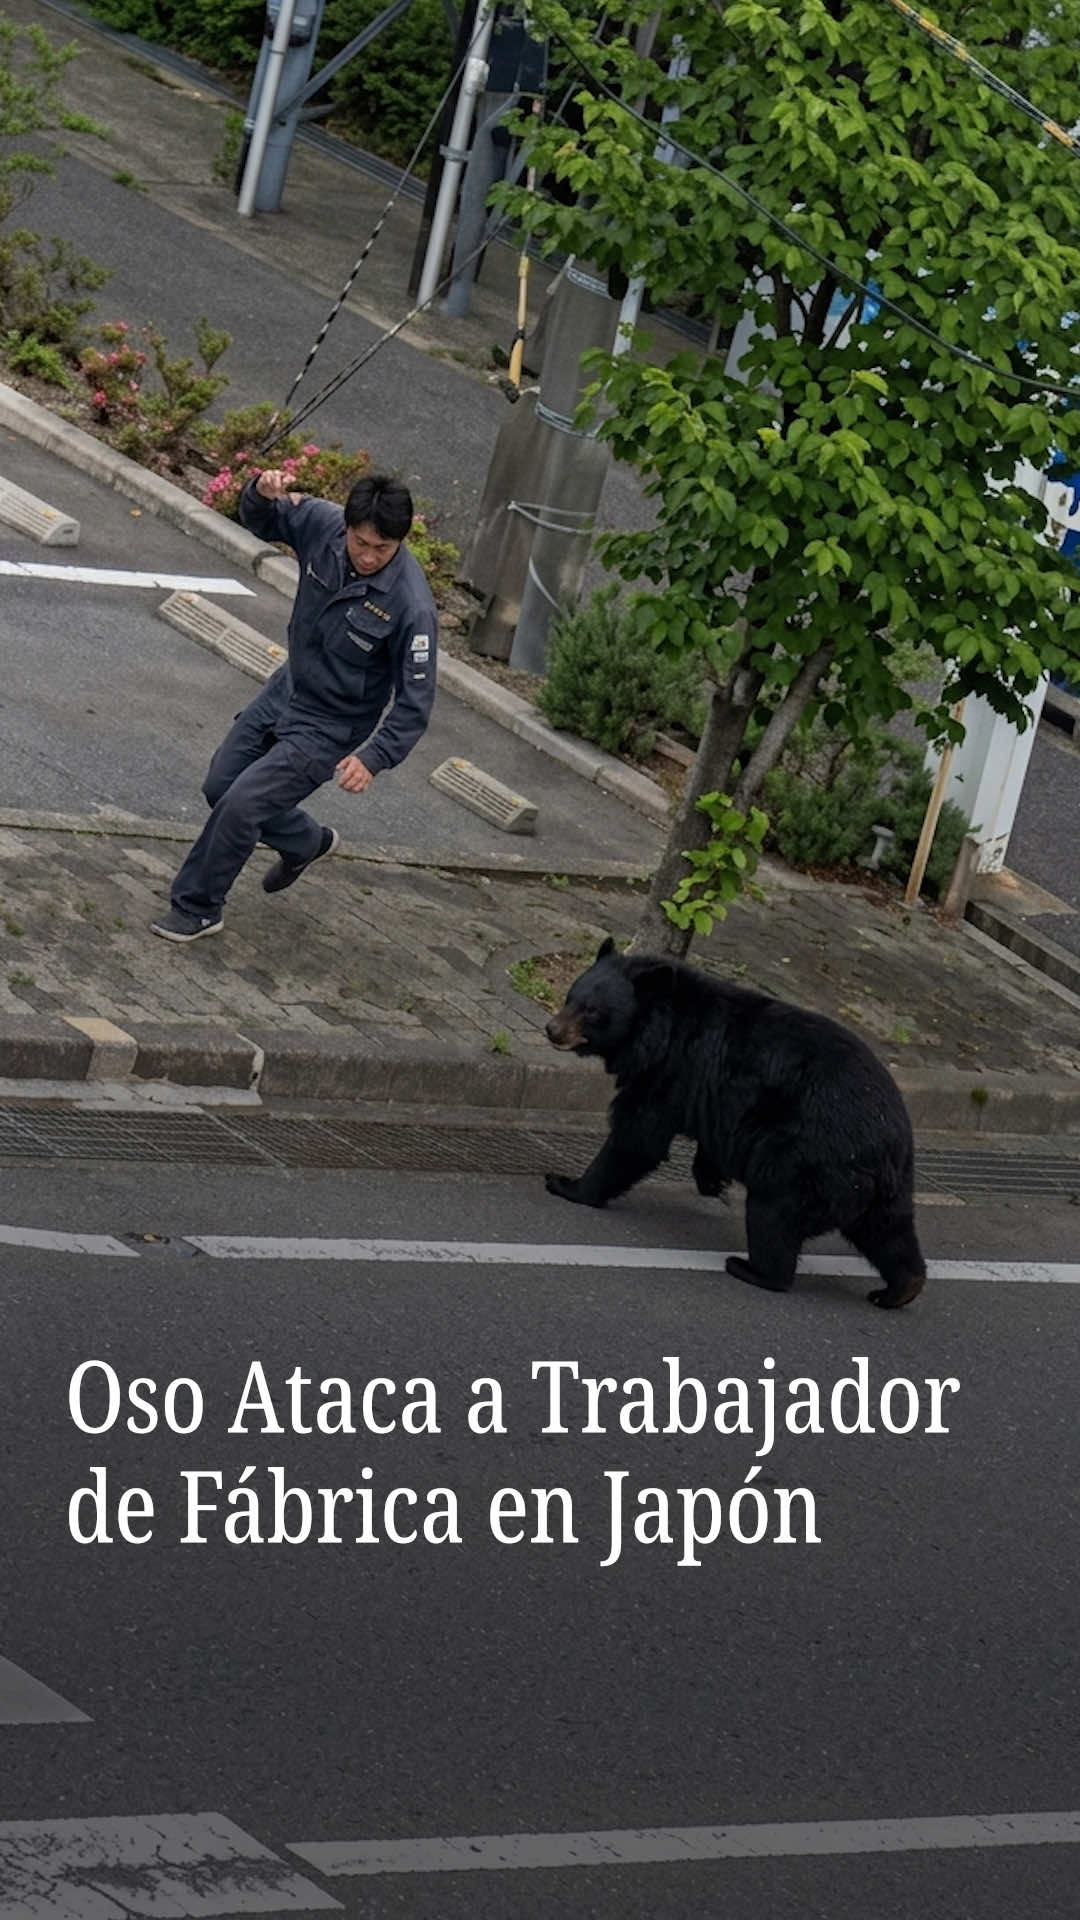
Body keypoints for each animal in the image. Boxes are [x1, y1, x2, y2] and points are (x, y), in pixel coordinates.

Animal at [544, 938, 926, 1310]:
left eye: (592, 1010)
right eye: (570, 996)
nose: (552, 1030)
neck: (660, 1029)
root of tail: (885, 1144)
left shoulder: (672, 1073)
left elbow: (637, 1138)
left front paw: (568, 1184)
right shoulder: (714, 1100)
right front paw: (711, 1180)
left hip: (804, 1158)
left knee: (774, 1214)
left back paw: (750, 1268)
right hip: (881, 1186)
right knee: (888, 1231)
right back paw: (900, 1289)